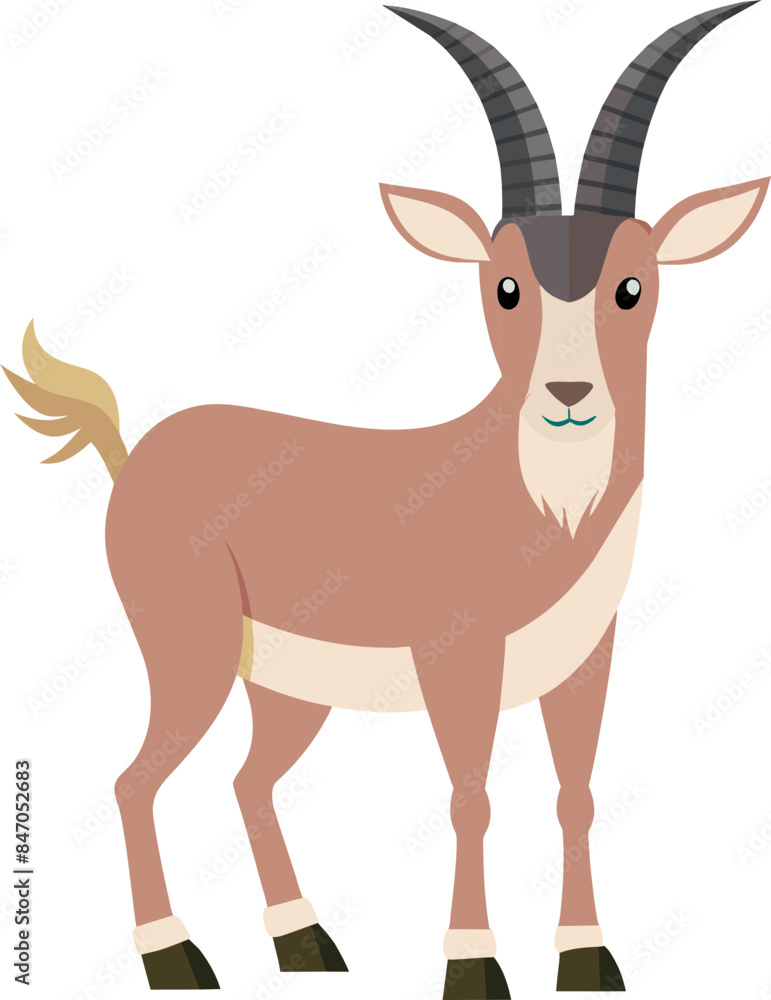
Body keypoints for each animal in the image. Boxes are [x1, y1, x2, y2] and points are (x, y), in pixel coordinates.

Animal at [4, 2, 767, 994]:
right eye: (505, 285)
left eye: (633, 284)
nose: (567, 397)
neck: (541, 514)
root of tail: (135, 453)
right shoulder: (458, 659)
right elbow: (471, 795)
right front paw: (473, 966)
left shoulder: (584, 662)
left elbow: (575, 794)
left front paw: (588, 958)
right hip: (187, 654)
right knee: (136, 780)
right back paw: (177, 959)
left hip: (283, 689)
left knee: (248, 781)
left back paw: (308, 949)